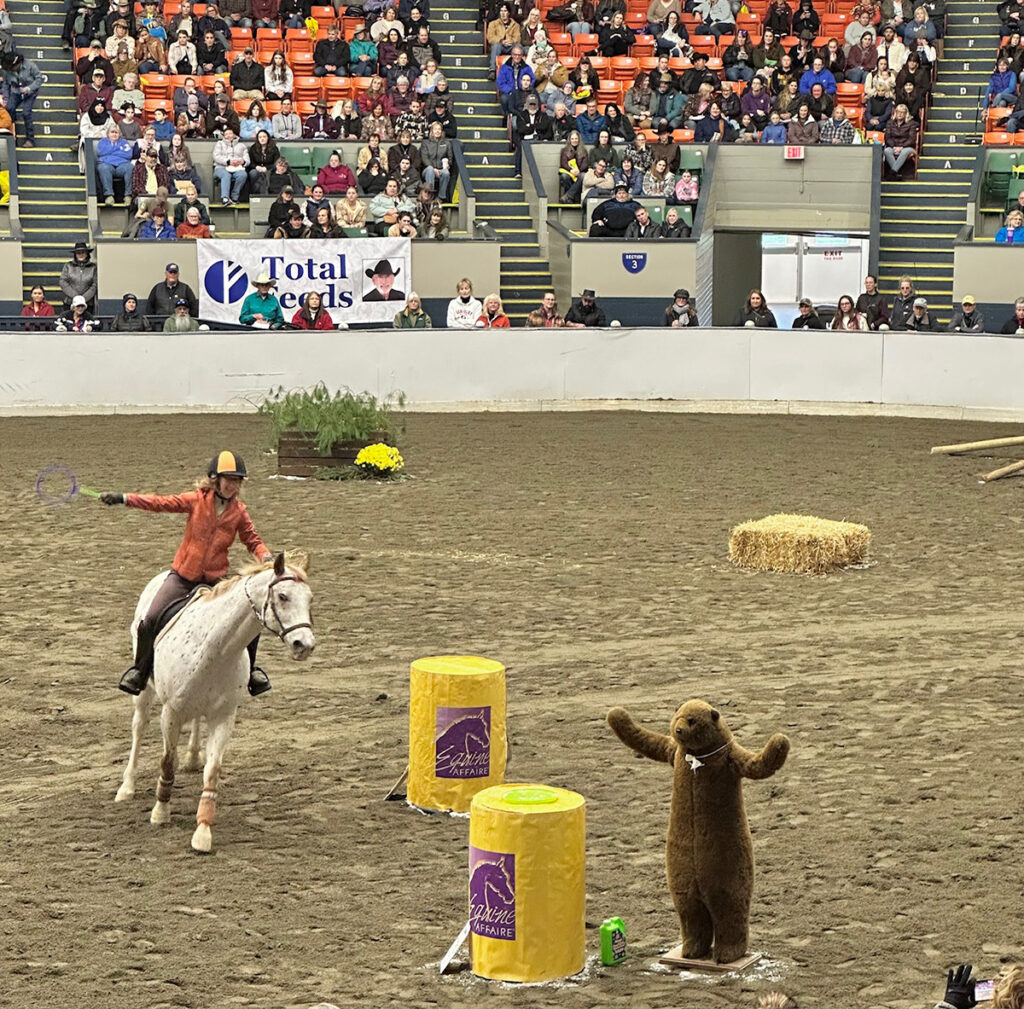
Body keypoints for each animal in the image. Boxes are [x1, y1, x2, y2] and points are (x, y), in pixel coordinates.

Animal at [114, 552, 315, 853]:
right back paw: (127, 787)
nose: (305, 645)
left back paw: (192, 757)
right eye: (283, 596)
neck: (215, 647)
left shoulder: (224, 715)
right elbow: (167, 762)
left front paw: (203, 831)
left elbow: (212, 772)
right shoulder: (171, 712)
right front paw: (160, 813)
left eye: (309, 598)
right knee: (138, 728)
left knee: (197, 722)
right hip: (144, 694)